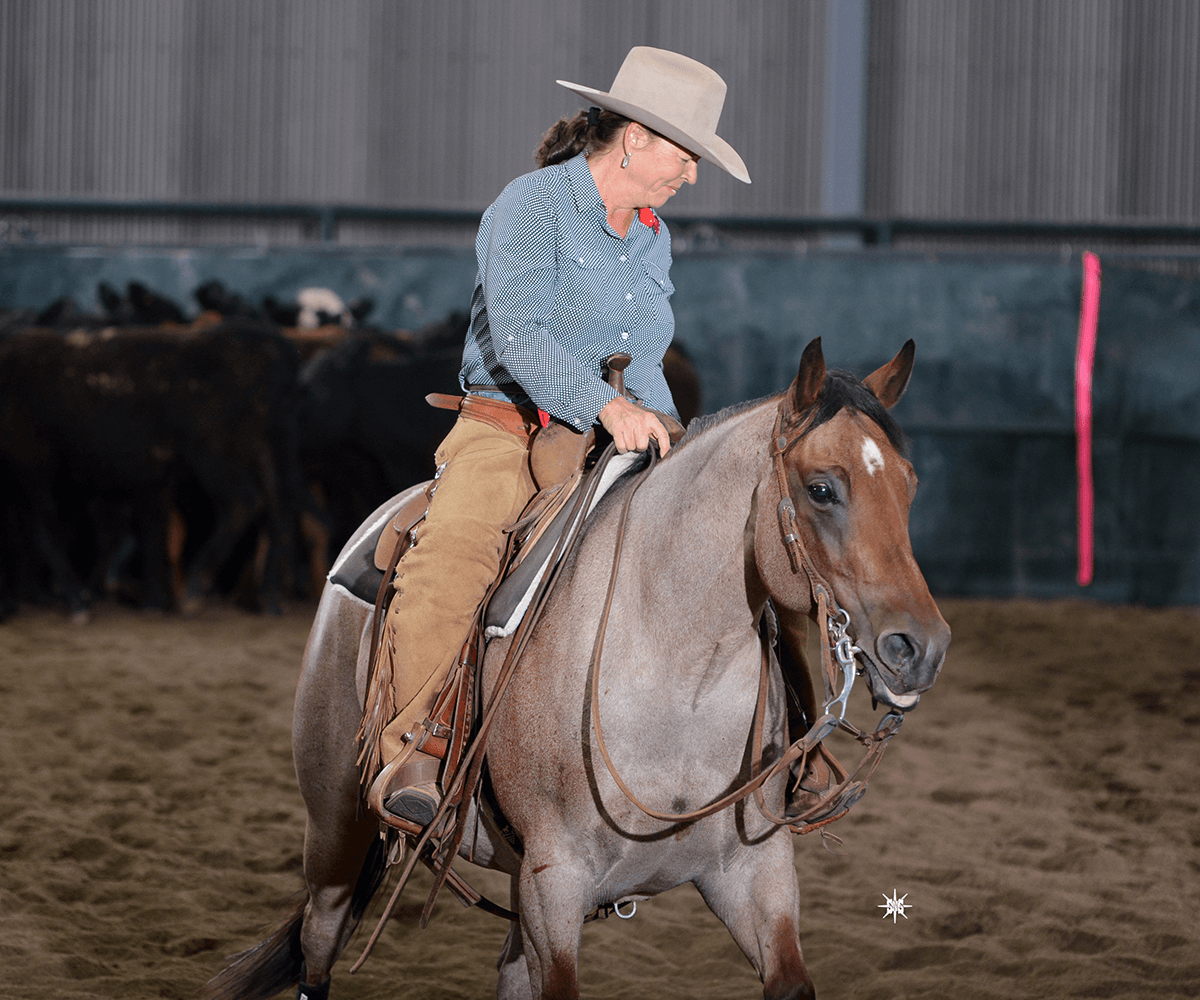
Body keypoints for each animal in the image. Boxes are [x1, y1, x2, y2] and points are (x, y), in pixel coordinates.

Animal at [206, 337, 950, 1000]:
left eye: (912, 486)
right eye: (822, 489)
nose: (921, 647)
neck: (678, 686)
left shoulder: (754, 871)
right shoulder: (554, 881)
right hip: (335, 827)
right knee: (319, 942)